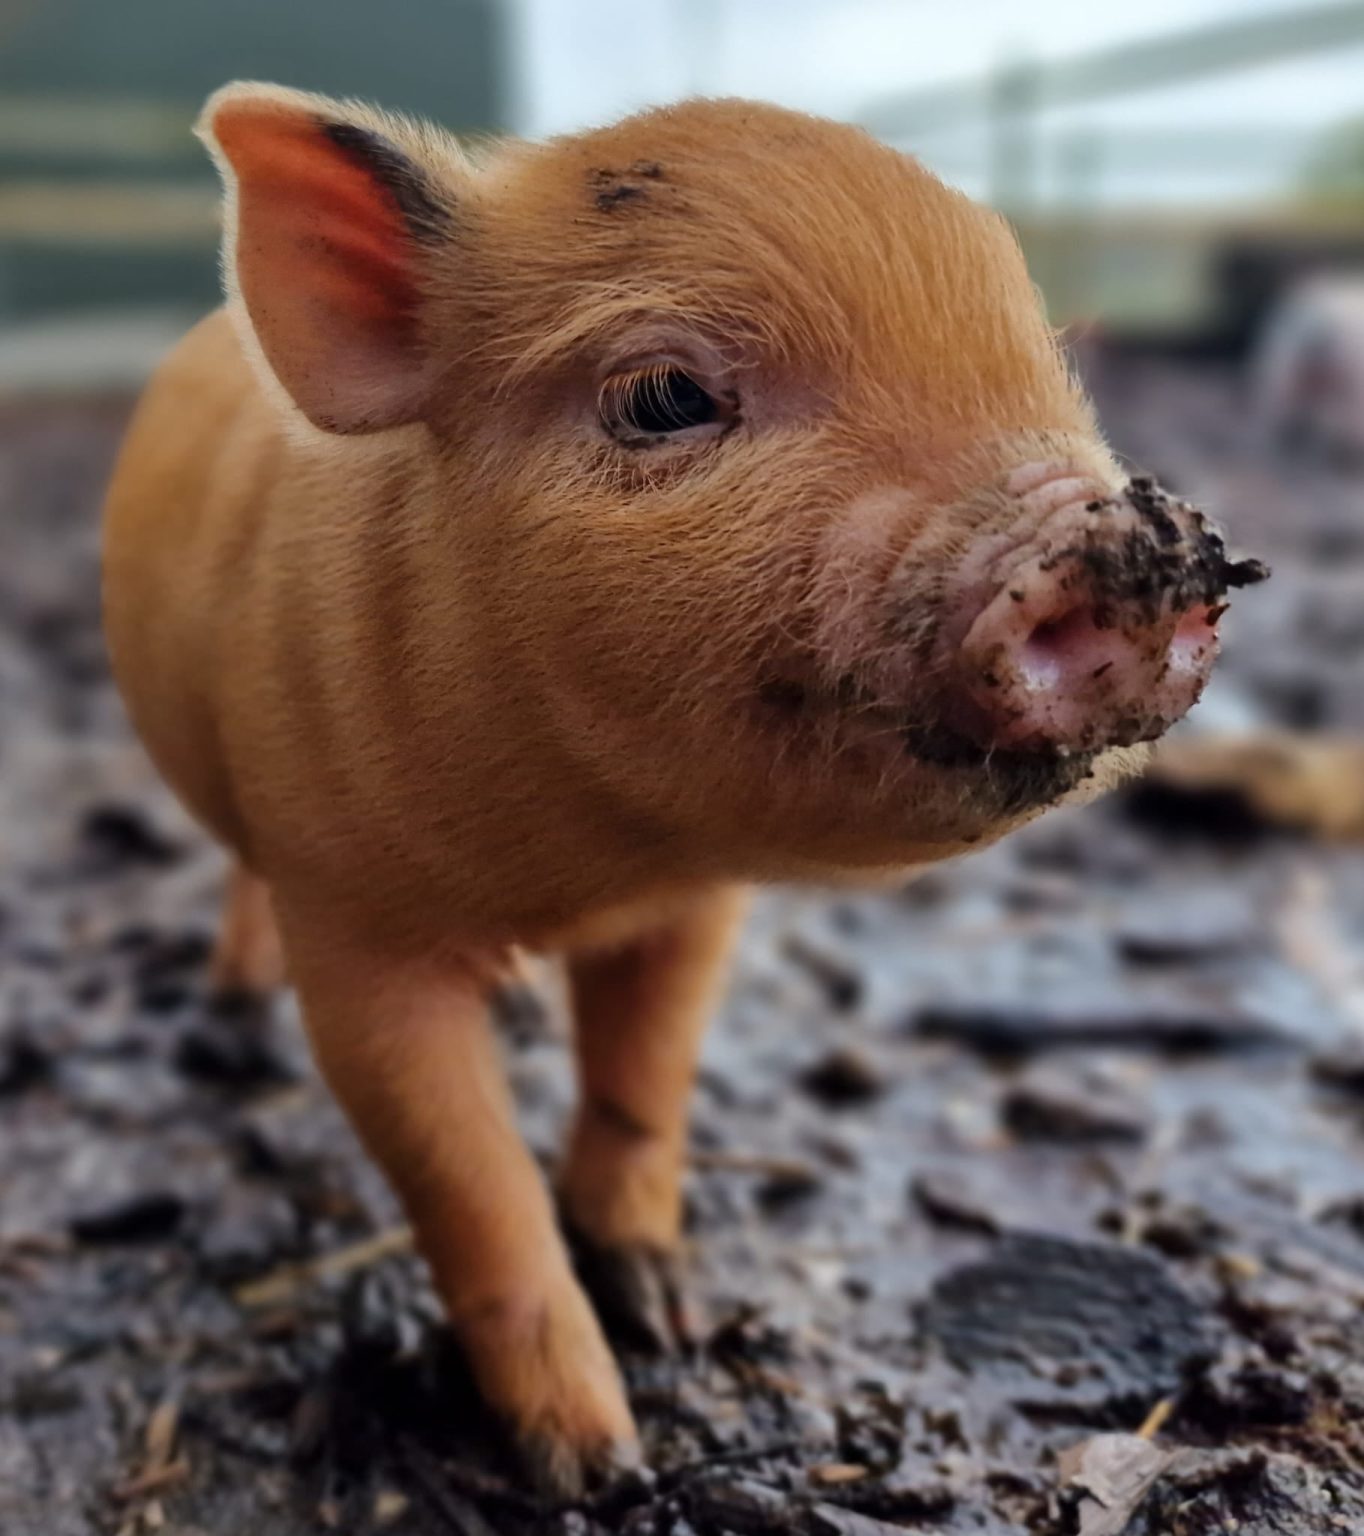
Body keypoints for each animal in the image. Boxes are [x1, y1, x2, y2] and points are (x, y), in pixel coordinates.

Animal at [101, 83, 1266, 1492]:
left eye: (1043, 359)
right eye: (663, 395)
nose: (1097, 535)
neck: (576, 873)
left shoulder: (690, 908)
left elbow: (645, 1082)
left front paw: (665, 1312)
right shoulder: (352, 926)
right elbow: (465, 1175)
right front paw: (593, 1465)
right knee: (234, 871)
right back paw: (227, 1014)